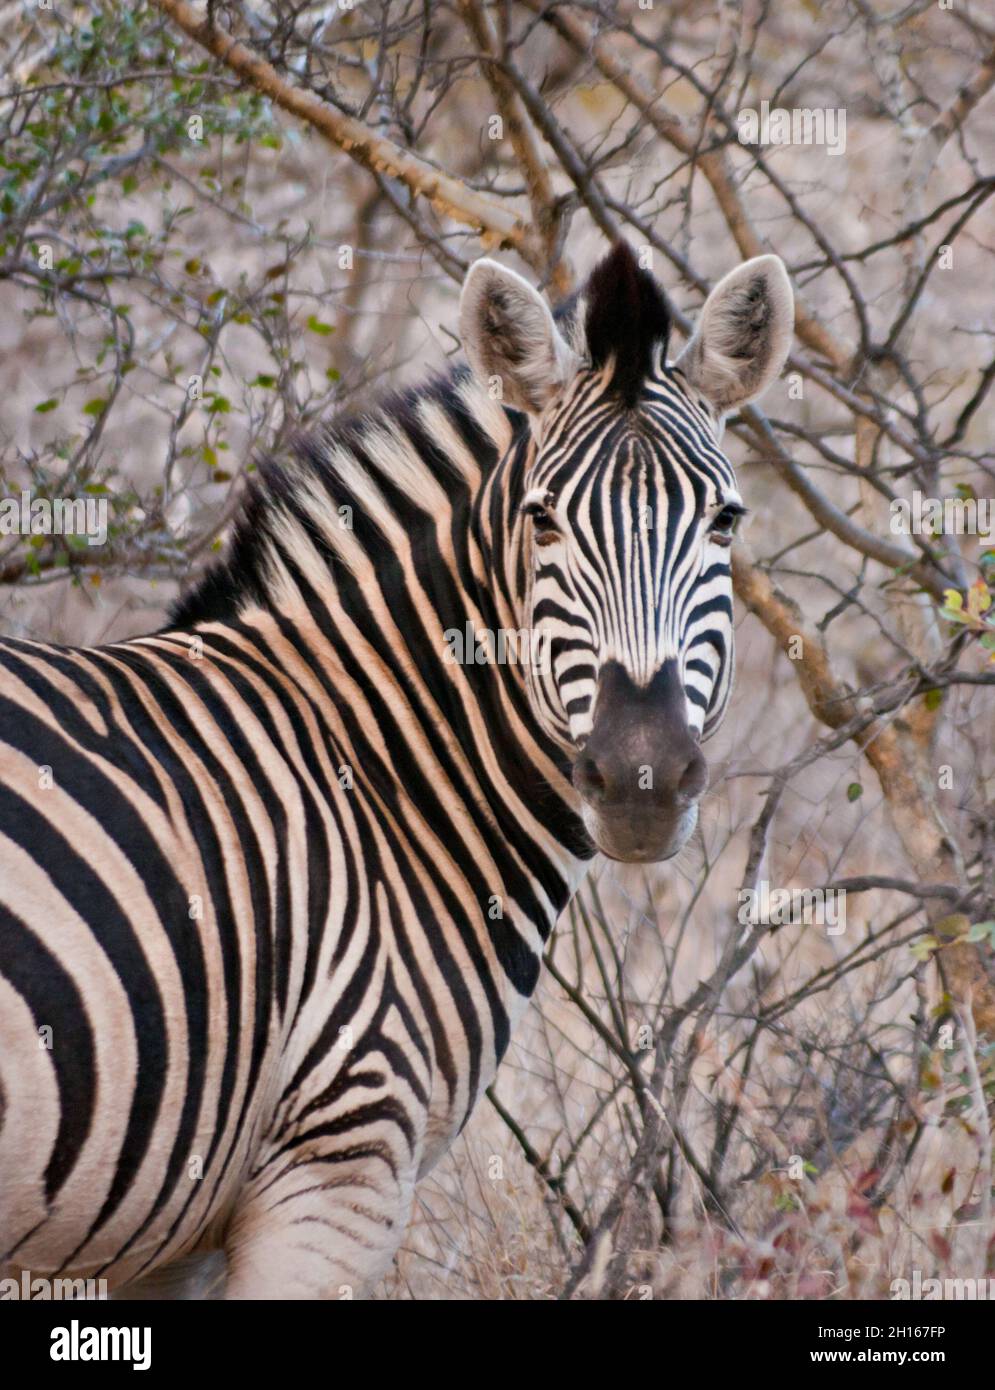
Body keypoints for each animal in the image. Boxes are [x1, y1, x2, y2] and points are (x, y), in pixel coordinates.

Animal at [0, 241, 792, 1299]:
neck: (377, 777)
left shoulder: (174, 1244)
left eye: (724, 522)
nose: (642, 778)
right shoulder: (340, 1169)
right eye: (543, 522)